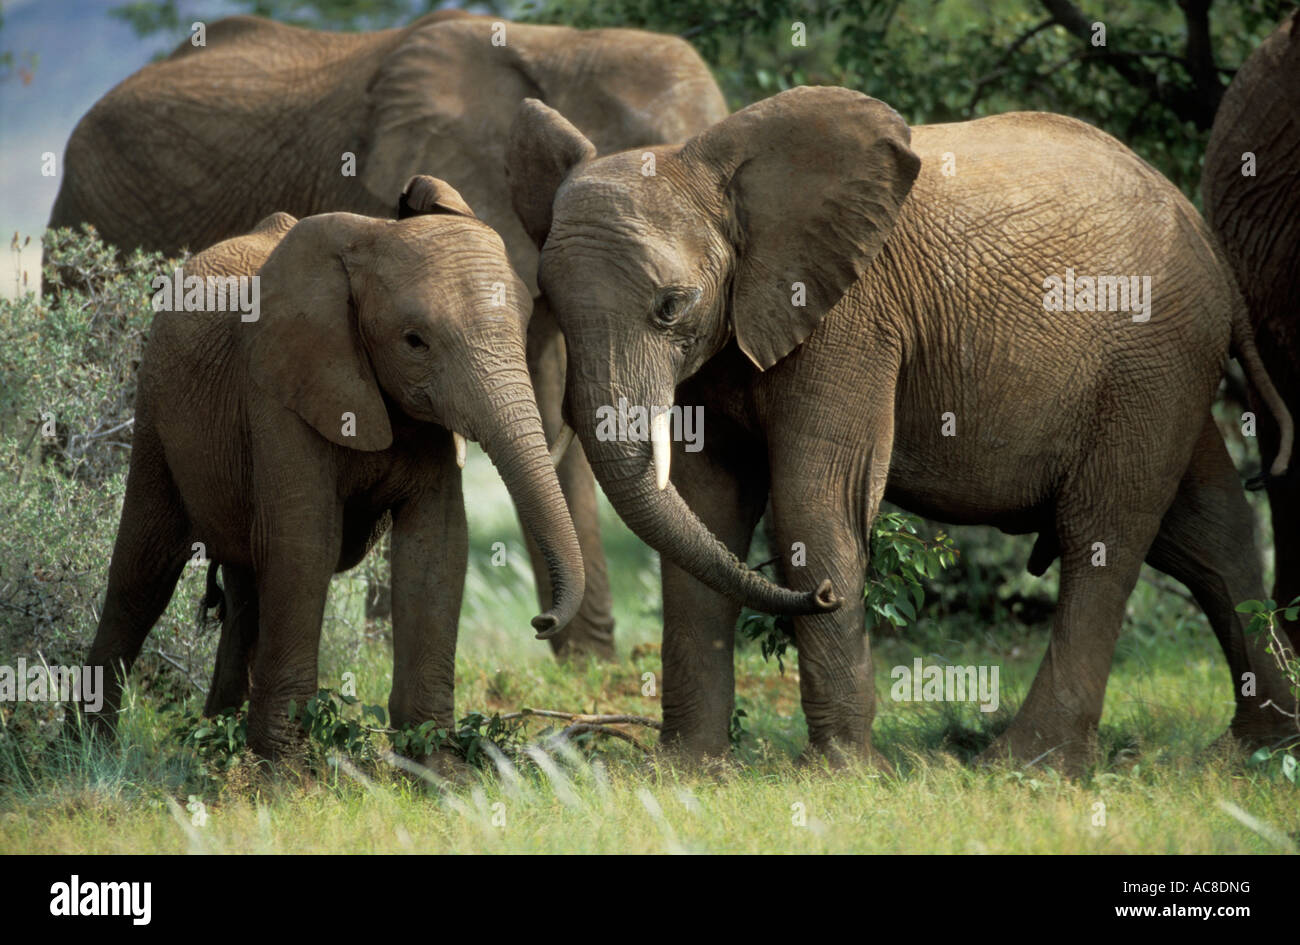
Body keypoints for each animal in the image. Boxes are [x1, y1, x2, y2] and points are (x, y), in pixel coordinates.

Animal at [48, 10, 729, 663]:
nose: (538, 624)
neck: (559, 44)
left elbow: (543, 392)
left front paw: (592, 666)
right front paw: (375, 659)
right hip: (83, 231)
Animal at [85, 176, 585, 760]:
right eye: (415, 341)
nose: (540, 621)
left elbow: (435, 546)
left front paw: (438, 767)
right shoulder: (280, 390)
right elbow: (305, 543)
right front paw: (287, 772)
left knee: (246, 590)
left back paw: (219, 746)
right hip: (154, 412)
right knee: (141, 576)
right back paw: (87, 751)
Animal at [504, 86, 1298, 772]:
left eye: (672, 305)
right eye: (551, 304)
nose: (538, 623)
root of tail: (1207, 241)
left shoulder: (851, 318)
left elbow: (815, 500)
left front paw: (839, 774)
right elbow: (708, 512)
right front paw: (689, 772)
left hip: (1151, 356)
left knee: (1102, 535)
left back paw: (1024, 767)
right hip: (1170, 362)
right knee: (1210, 536)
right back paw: (1256, 751)